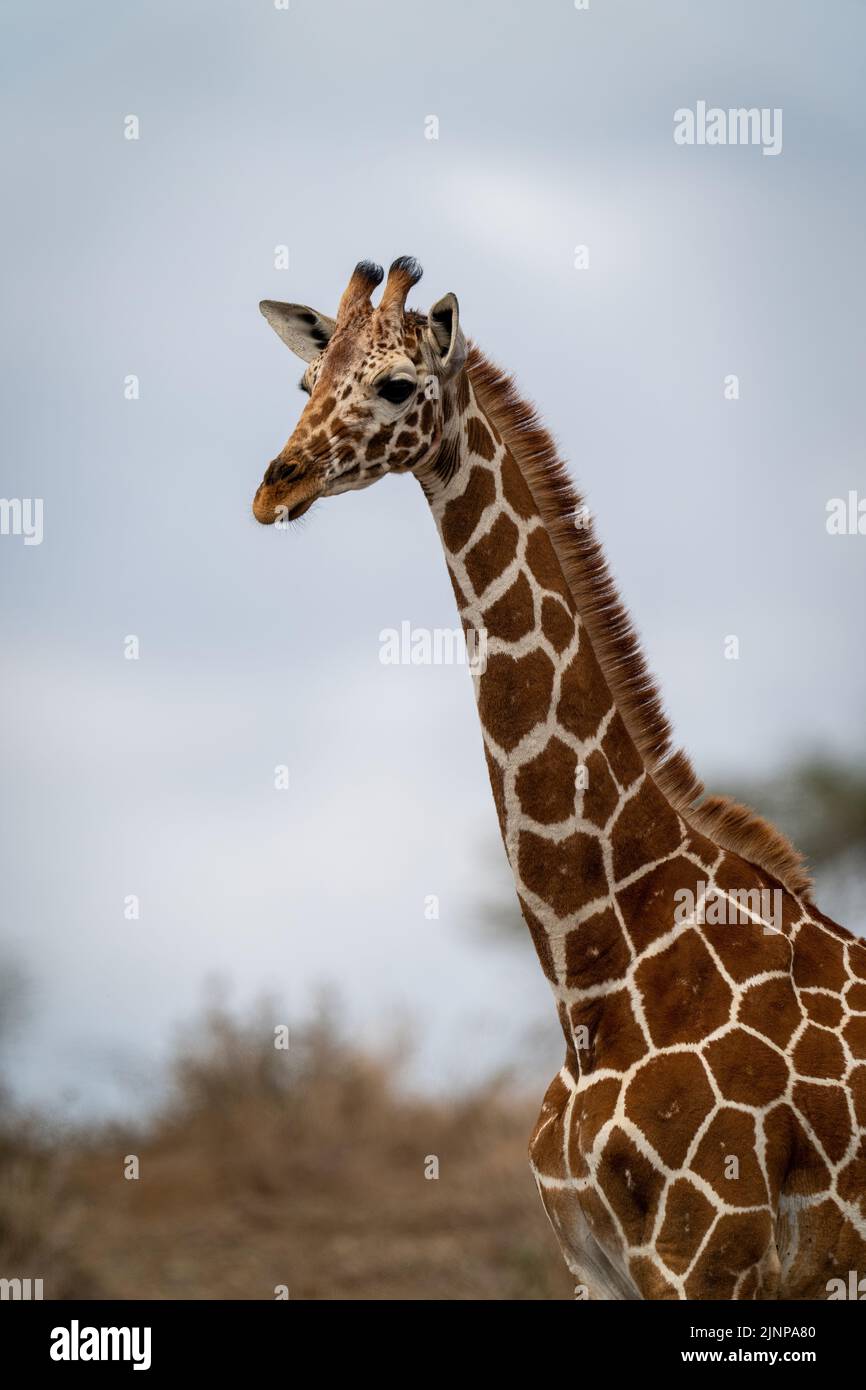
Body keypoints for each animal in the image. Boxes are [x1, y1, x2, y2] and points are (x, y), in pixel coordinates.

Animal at [252, 256, 866, 1300]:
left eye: (397, 386)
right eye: (305, 384)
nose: (273, 487)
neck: (595, 970)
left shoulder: (707, 1255)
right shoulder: (595, 1266)